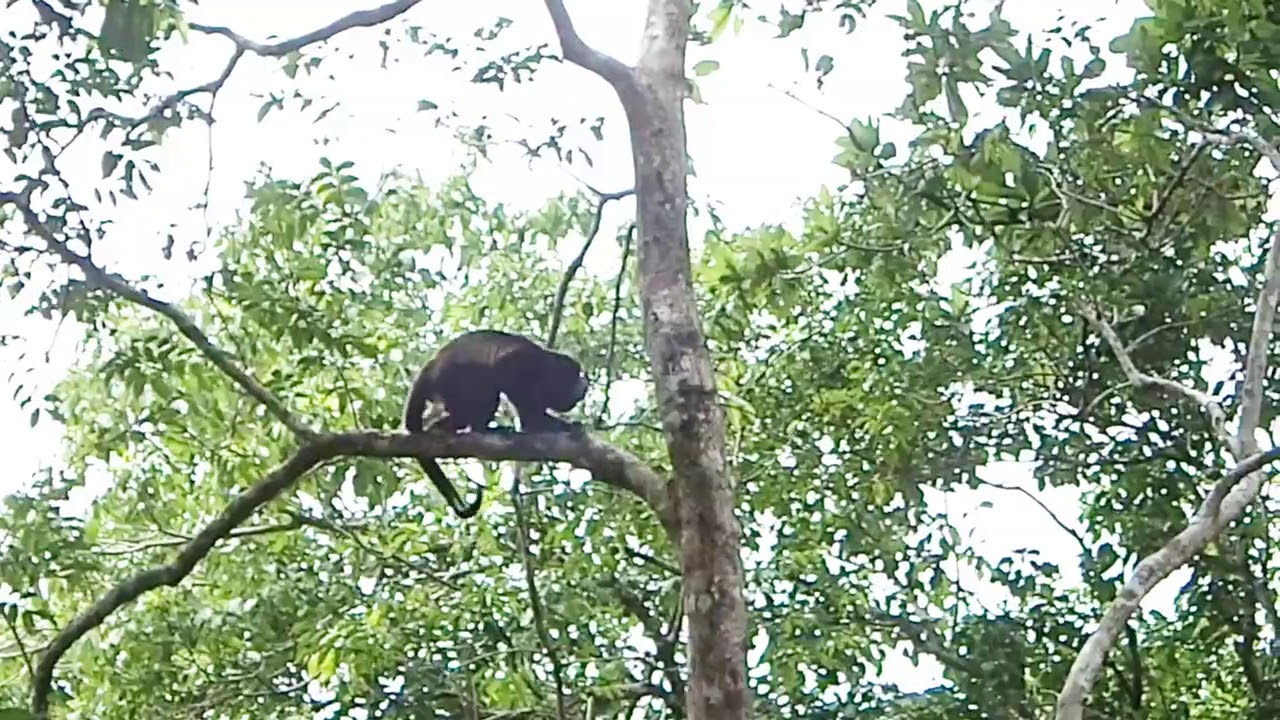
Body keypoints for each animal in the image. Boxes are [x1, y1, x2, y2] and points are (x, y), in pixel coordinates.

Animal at [403, 329, 590, 518]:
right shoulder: (525, 361)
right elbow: (506, 372)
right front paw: (560, 425)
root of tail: (429, 369)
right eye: (576, 375)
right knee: (488, 385)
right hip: (456, 378)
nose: (585, 383)